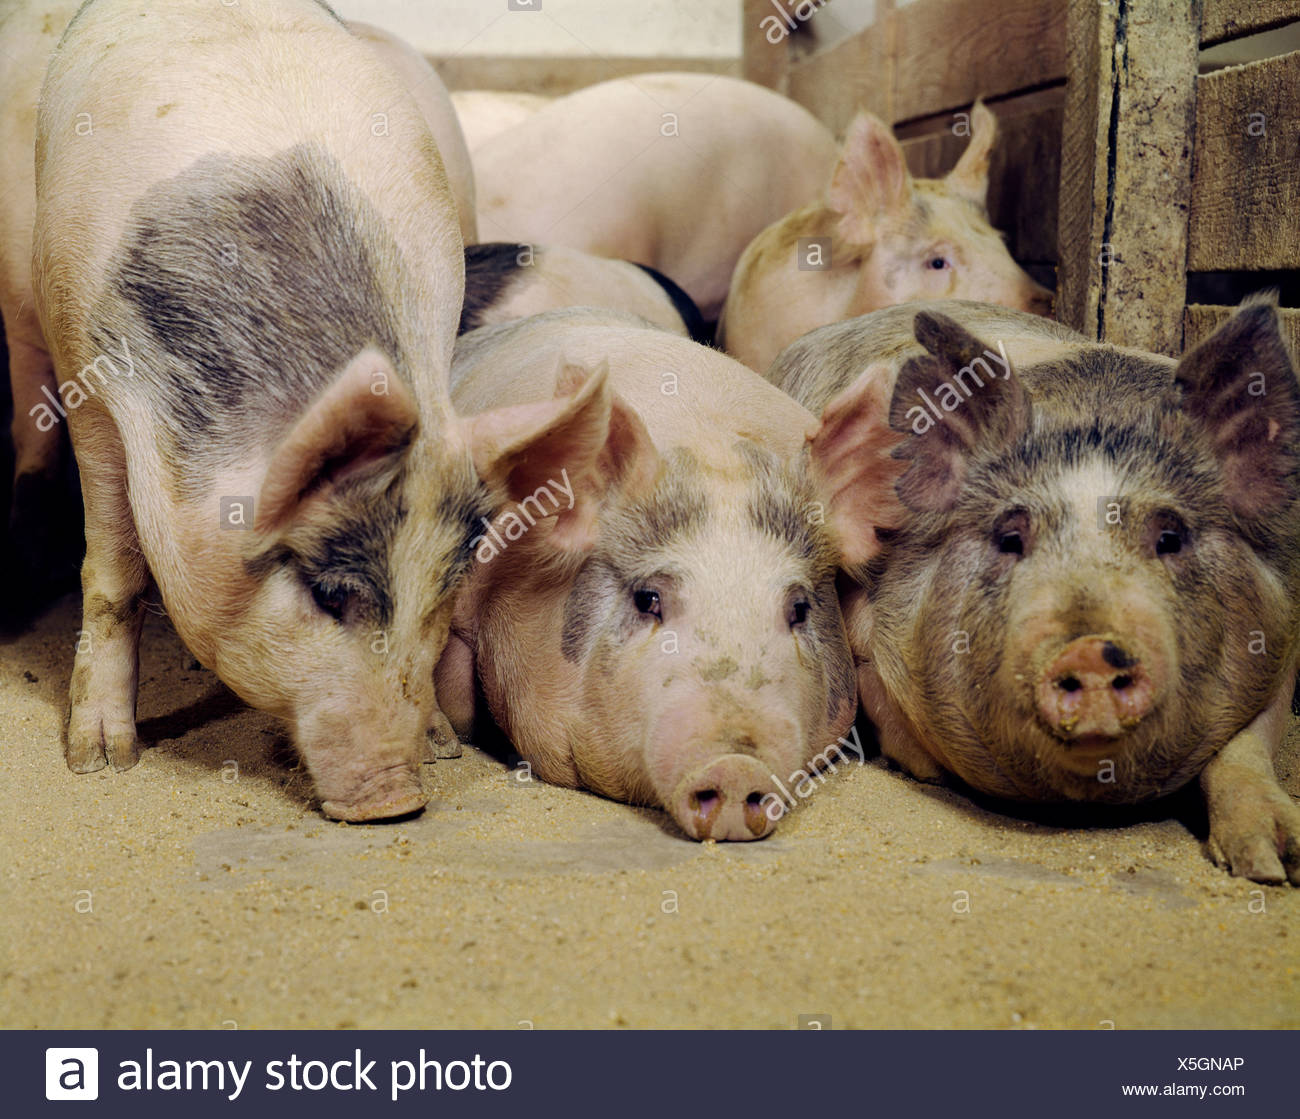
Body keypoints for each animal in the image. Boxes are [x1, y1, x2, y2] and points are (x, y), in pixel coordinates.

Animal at [769, 297, 1300, 884]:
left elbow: (1246, 744)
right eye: (1010, 538)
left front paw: (1273, 866)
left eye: (1170, 538)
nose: (1091, 647)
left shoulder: (1281, 638)